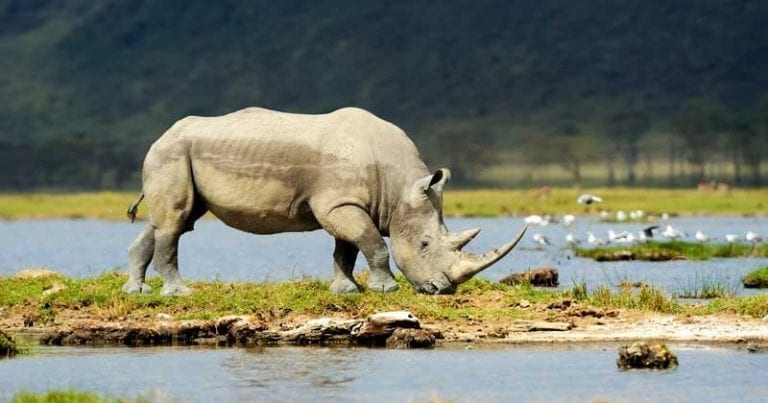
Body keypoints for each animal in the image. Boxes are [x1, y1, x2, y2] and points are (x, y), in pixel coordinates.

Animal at [124, 107, 526, 296]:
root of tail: (162, 135)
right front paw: (387, 289)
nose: (444, 290)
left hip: (178, 154)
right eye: (425, 244)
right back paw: (178, 293)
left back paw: (138, 291)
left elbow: (347, 248)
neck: (398, 190)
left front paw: (347, 290)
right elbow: (373, 243)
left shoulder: (346, 203)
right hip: (172, 153)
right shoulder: (339, 204)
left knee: (173, 220)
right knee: (175, 221)